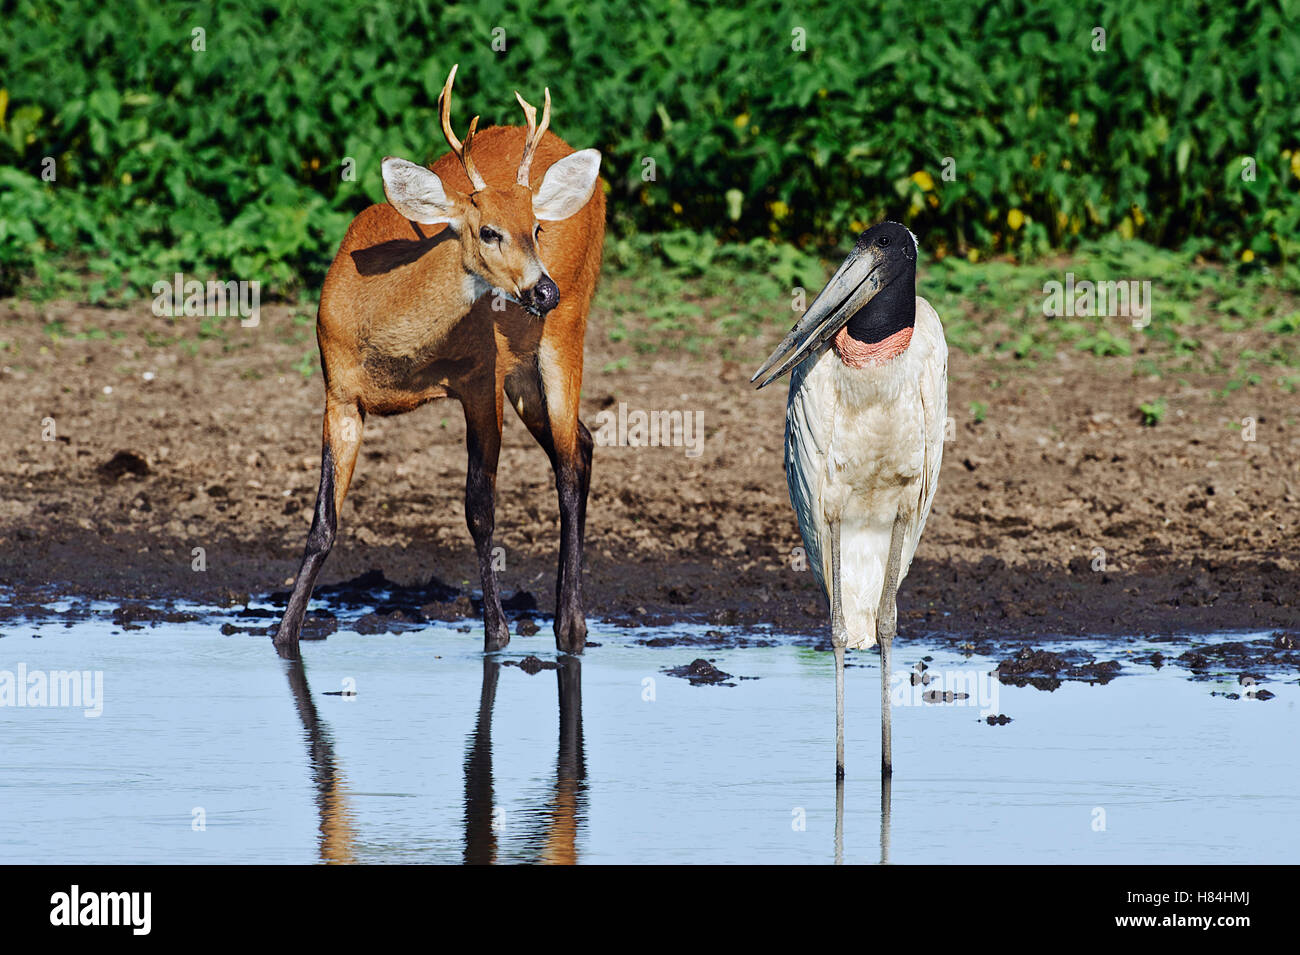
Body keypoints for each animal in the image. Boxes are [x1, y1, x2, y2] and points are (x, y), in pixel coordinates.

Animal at [273, 65, 605, 656]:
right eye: (489, 230)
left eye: (537, 229)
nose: (544, 290)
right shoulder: (339, 392)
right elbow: (323, 524)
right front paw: (285, 636)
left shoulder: (480, 380)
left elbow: (480, 510)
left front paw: (496, 635)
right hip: (525, 370)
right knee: (582, 446)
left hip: (566, 331)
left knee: (568, 463)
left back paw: (571, 627)